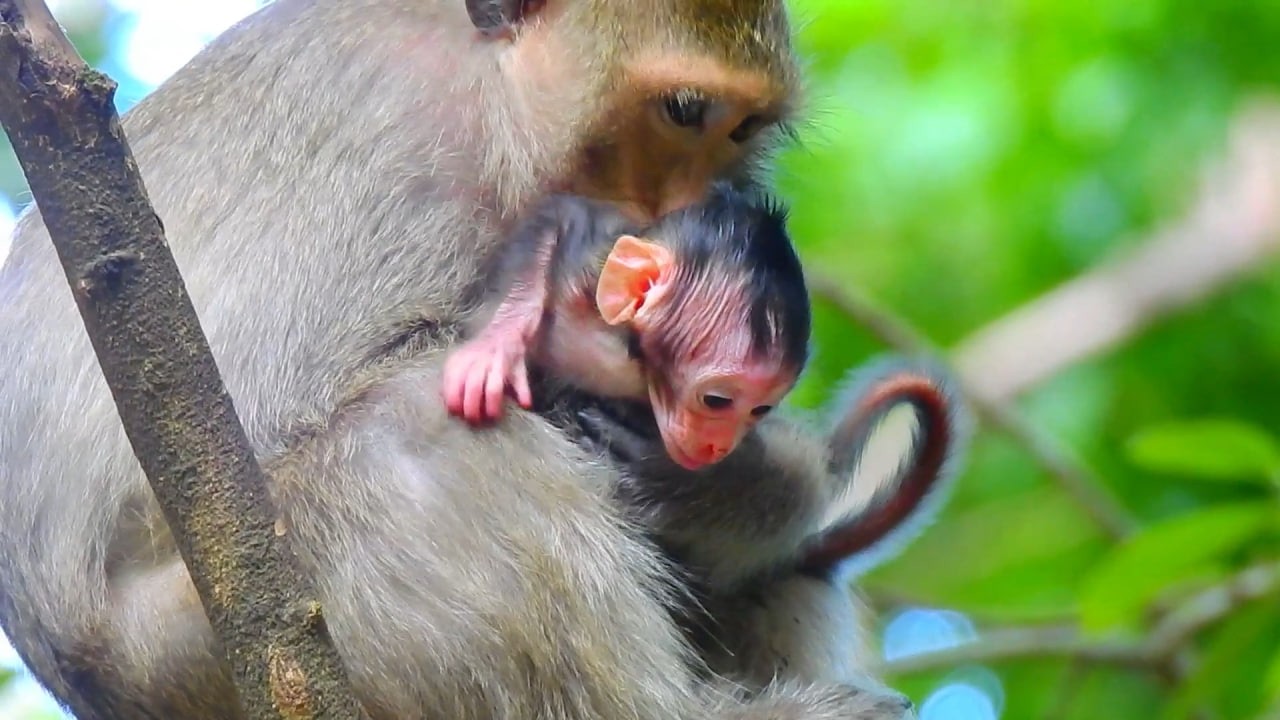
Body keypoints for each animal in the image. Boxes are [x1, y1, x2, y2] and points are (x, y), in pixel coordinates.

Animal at [443, 182, 810, 471]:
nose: (717, 448)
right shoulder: (585, 276)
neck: (630, 357)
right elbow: (559, 216)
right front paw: (494, 347)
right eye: (716, 400)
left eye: (760, 409)